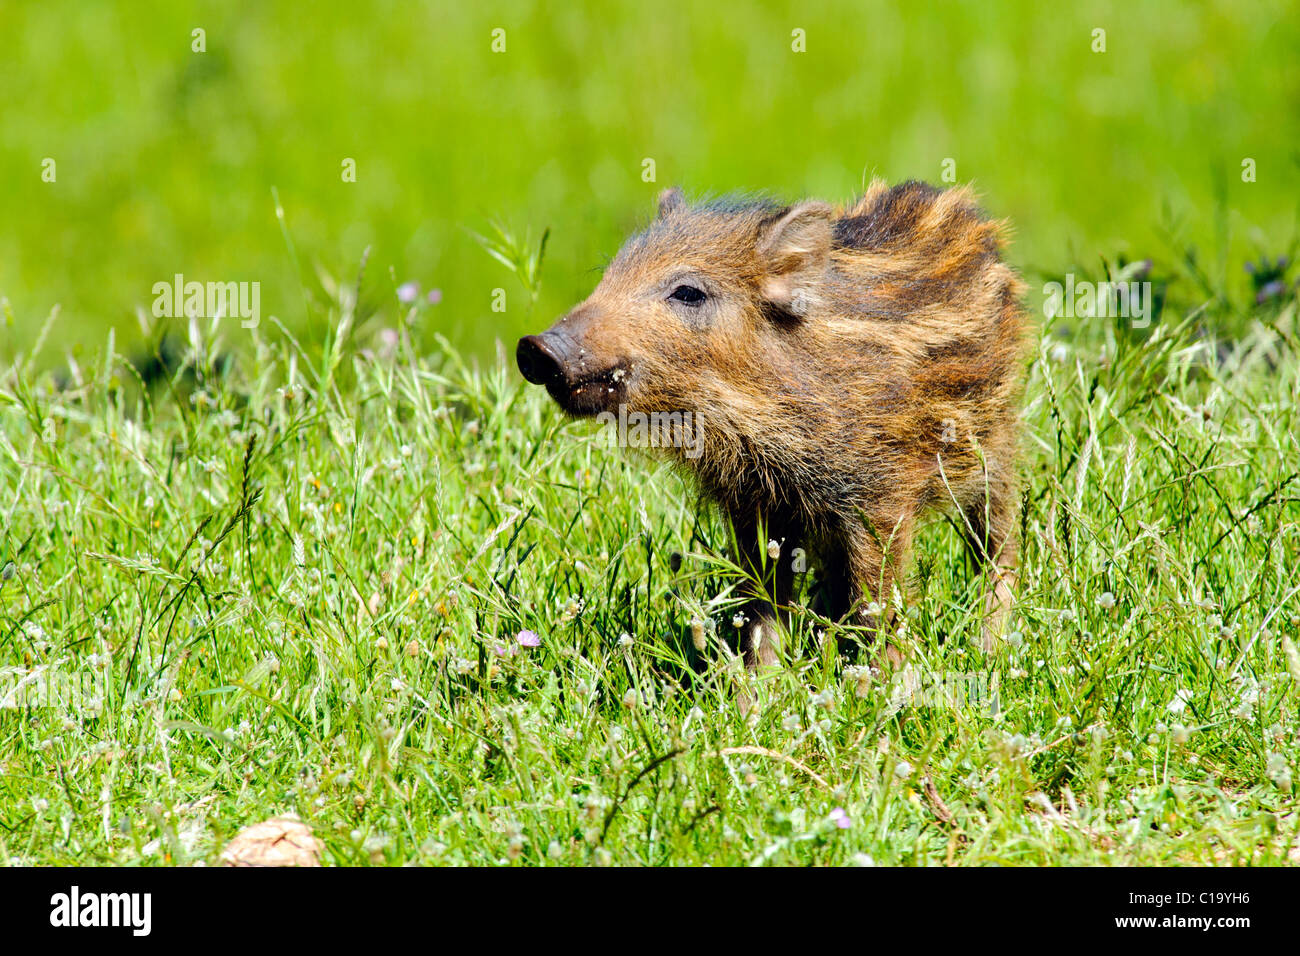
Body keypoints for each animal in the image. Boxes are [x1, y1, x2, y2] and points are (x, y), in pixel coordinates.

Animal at [516, 180, 1030, 669]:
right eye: (611, 273)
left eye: (688, 292)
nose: (536, 347)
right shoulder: (755, 507)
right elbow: (760, 605)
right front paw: (756, 690)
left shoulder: (880, 496)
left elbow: (876, 601)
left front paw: (886, 687)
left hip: (996, 445)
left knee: (1001, 546)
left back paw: (991, 648)